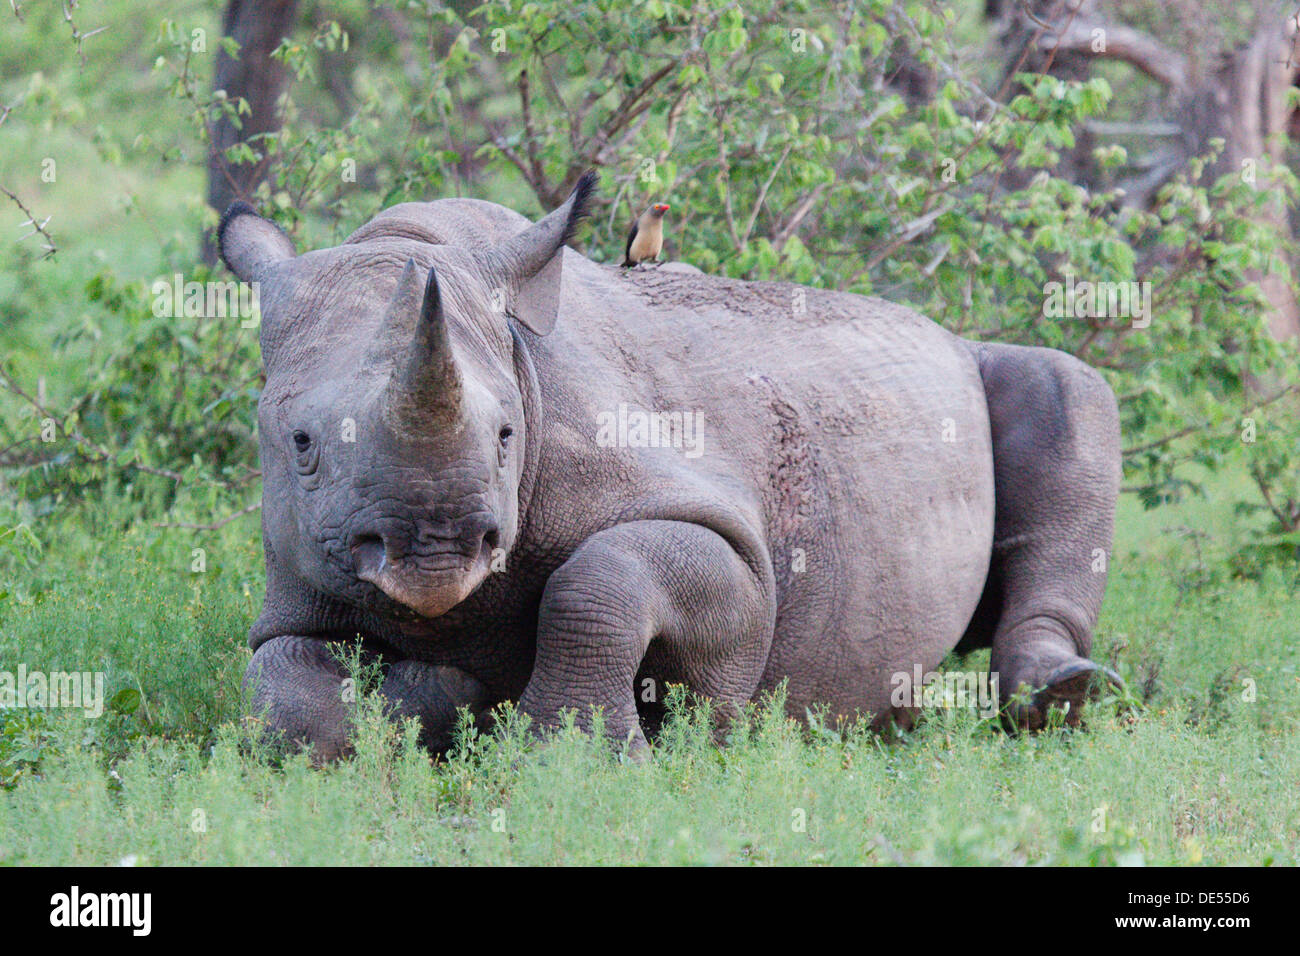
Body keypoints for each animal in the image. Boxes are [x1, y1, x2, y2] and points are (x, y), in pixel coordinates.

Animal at [219, 173, 1121, 760]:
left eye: (509, 435)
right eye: (302, 444)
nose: (433, 554)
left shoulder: (734, 548)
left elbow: (605, 582)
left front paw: (577, 758)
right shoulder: (301, 586)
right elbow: (285, 692)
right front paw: (443, 698)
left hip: (970, 371)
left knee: (1068, 387)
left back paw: (1059, 696)